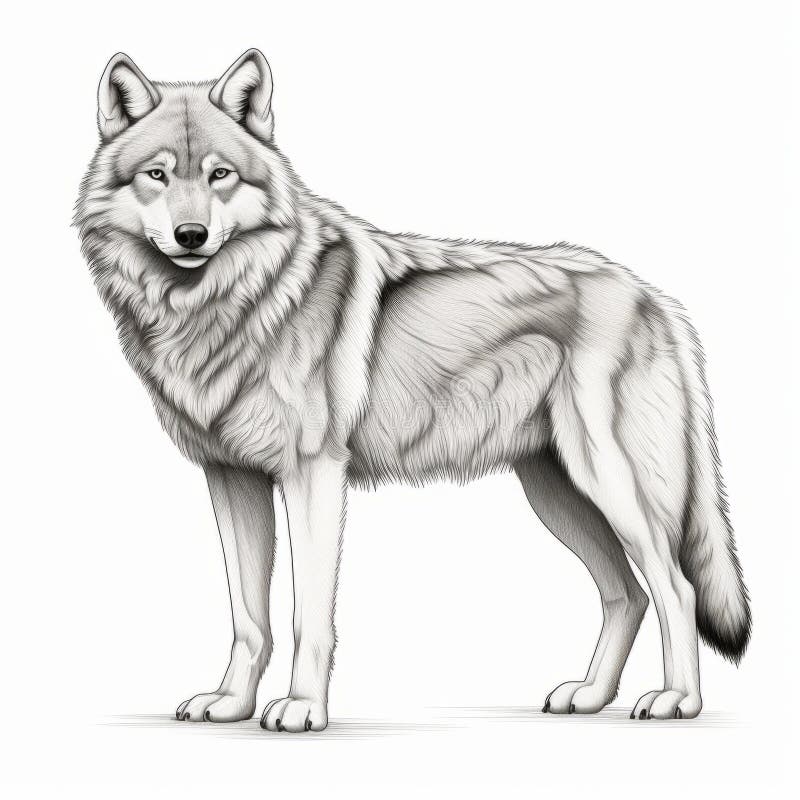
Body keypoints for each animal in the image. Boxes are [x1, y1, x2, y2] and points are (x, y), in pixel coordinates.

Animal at [75, 49, 750, 731]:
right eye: (157, 175)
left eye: (220, 176)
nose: (191, 235)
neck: (227, 302)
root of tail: (652, 295)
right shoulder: (230, 477)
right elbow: (249, 617)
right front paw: (233, 704)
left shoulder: (313, 475)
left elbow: (307, 615)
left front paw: (303, 708)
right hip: (558, 495)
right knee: (627, 593)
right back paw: (588, 695)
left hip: (608, 483)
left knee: (677, 587)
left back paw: (677, 701)